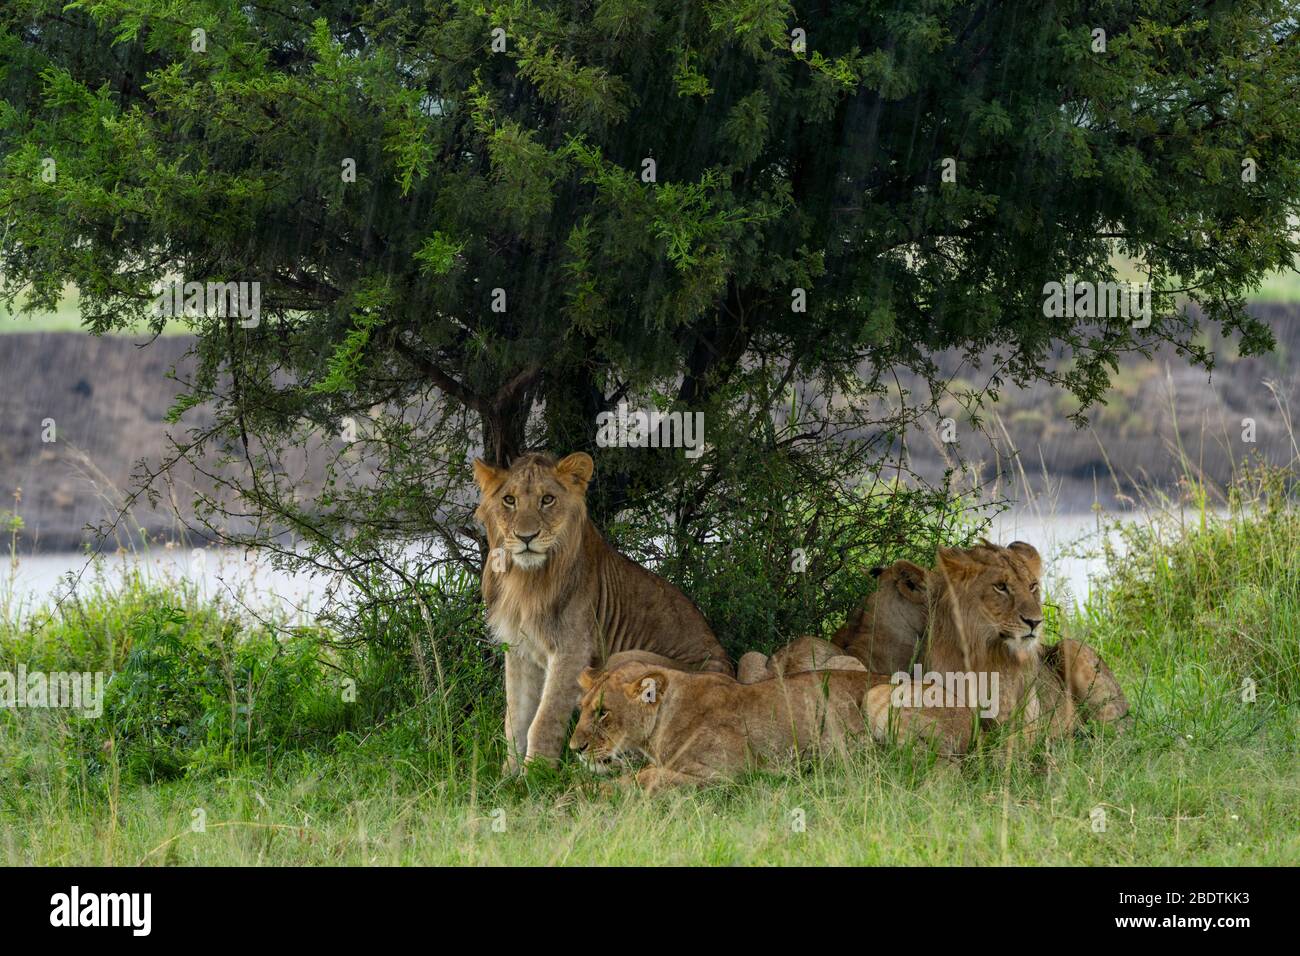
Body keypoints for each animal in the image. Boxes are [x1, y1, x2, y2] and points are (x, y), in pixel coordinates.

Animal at [473, 451, 732, 771]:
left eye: (547, 499)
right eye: (509, 500)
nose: (526, 537)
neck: (527, 581)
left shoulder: (573, 649)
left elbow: (543, 720)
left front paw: (536, 775)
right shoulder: (520, 650)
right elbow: (515, 721)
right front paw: (508, 776)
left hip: (628, 659)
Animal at [569, 661, 884, 791]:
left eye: (603, 713)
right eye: (582, 709)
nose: (574, 749)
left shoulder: (728, 774)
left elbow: (649, 777)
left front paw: (591, 792)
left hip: (874, 698)